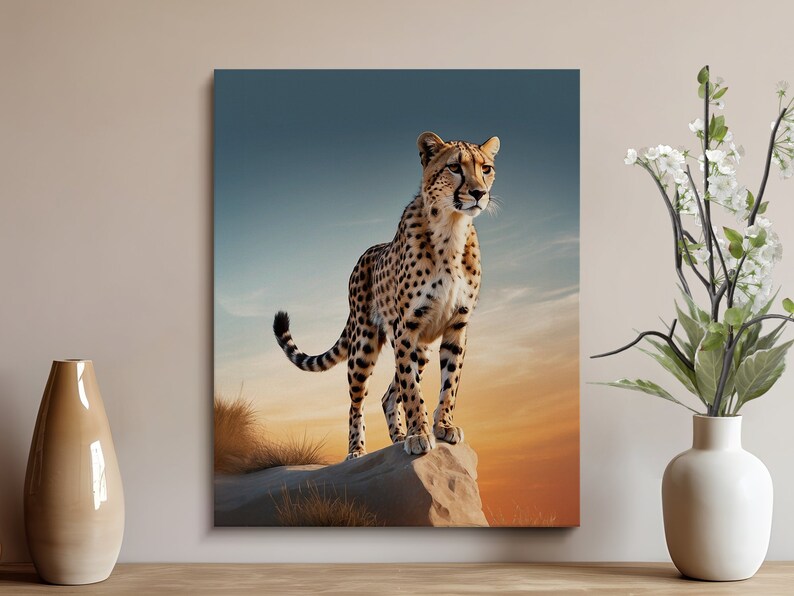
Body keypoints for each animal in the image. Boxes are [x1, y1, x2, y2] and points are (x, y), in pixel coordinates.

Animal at [273, 131, 500, 459]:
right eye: (455, 167)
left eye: (486, 169)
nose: (479, 193)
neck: (451, 228)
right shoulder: (406, 327)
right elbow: (412, 389)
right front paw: (419, 434)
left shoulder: (457, 325)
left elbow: (450, 383)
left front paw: (442, 425)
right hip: (364, 344)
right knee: (358, 401)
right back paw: (357, 450)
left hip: (421, 349)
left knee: (387, 394)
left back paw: (397, 436)